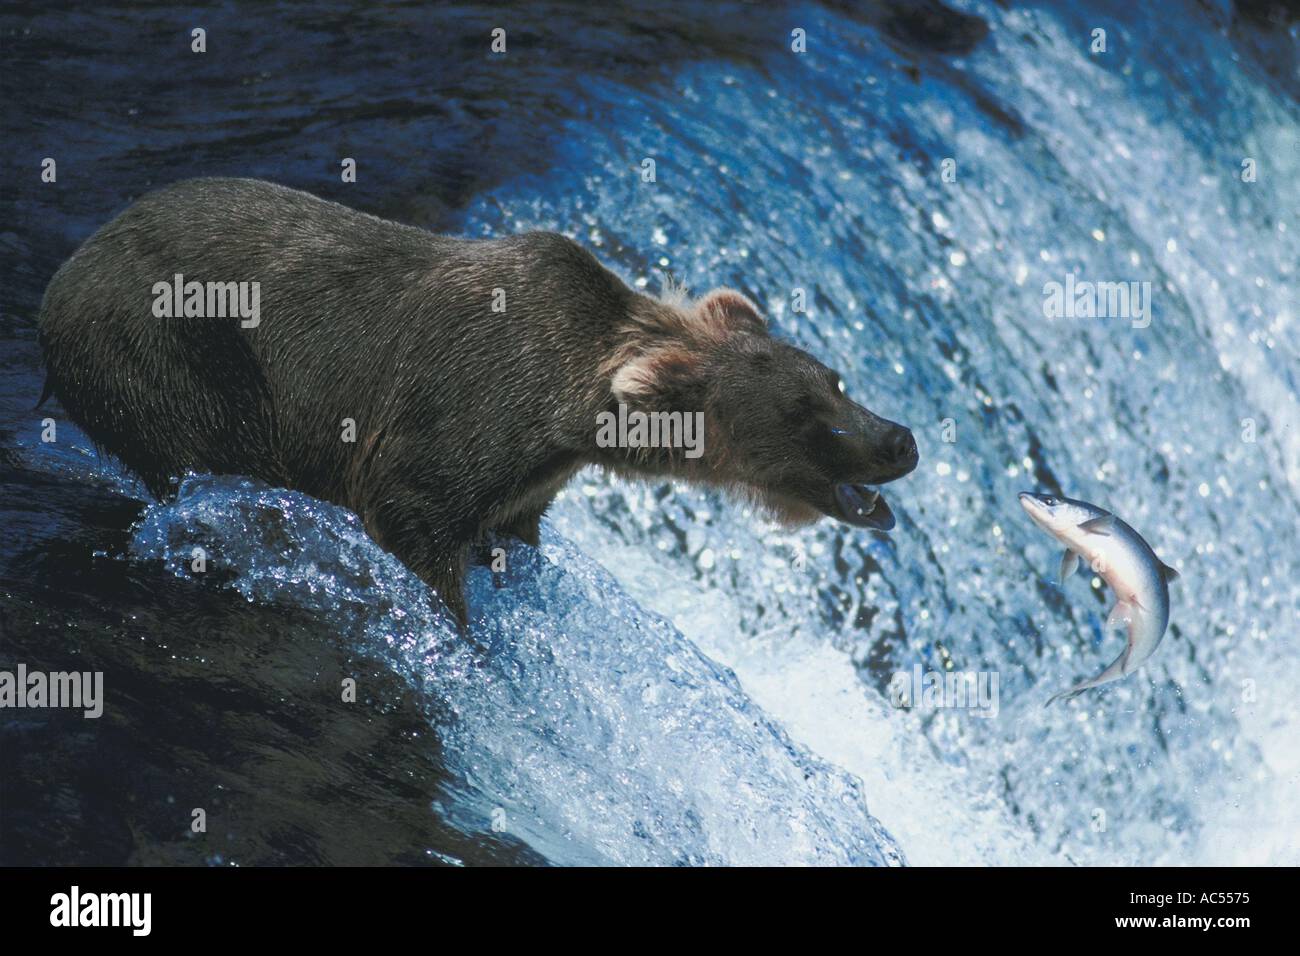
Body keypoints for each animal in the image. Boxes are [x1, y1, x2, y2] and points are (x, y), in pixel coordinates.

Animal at [38, 178, 918, 625]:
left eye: (836, 380)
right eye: (806, 416)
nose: (900, 440)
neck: (571, 413)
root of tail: (67, 269)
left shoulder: (531, 476)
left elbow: (513, 532)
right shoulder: (452, 422)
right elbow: (415, 518)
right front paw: (459, 627)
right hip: (170, 350)